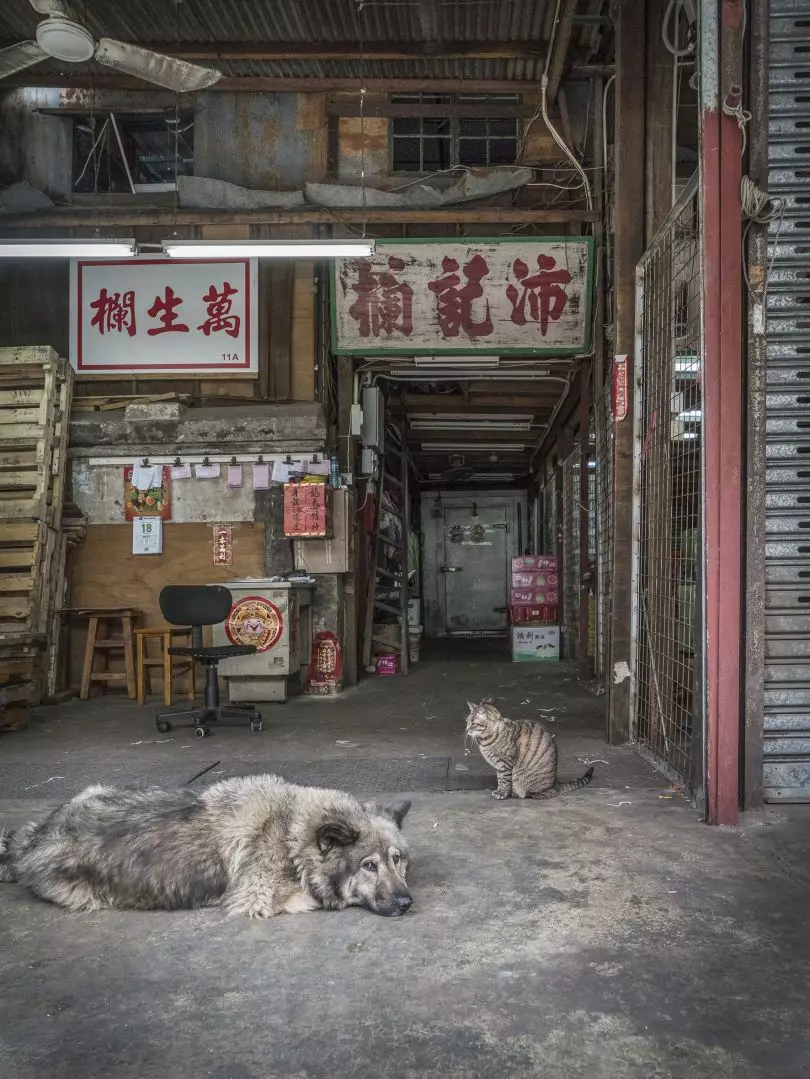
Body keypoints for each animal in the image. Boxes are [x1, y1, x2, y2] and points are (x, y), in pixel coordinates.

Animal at [0, 776, 414, 919]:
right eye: (369, 866)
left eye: (397, 861)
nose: (407, 902)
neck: (291, 834)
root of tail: (35, 839)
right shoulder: (257, 896)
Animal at [461, 699, 595, 802]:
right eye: (466, 722)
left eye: (473, 724)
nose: (466, 730)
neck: (487, 739)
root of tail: (555, 784)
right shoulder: (499, 766)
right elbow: (500, 779)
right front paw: (499, 790)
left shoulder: (505, 764)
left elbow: (505, 781)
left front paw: (502, 793)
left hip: (525, 779)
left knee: (542, 794)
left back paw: (518, 793)